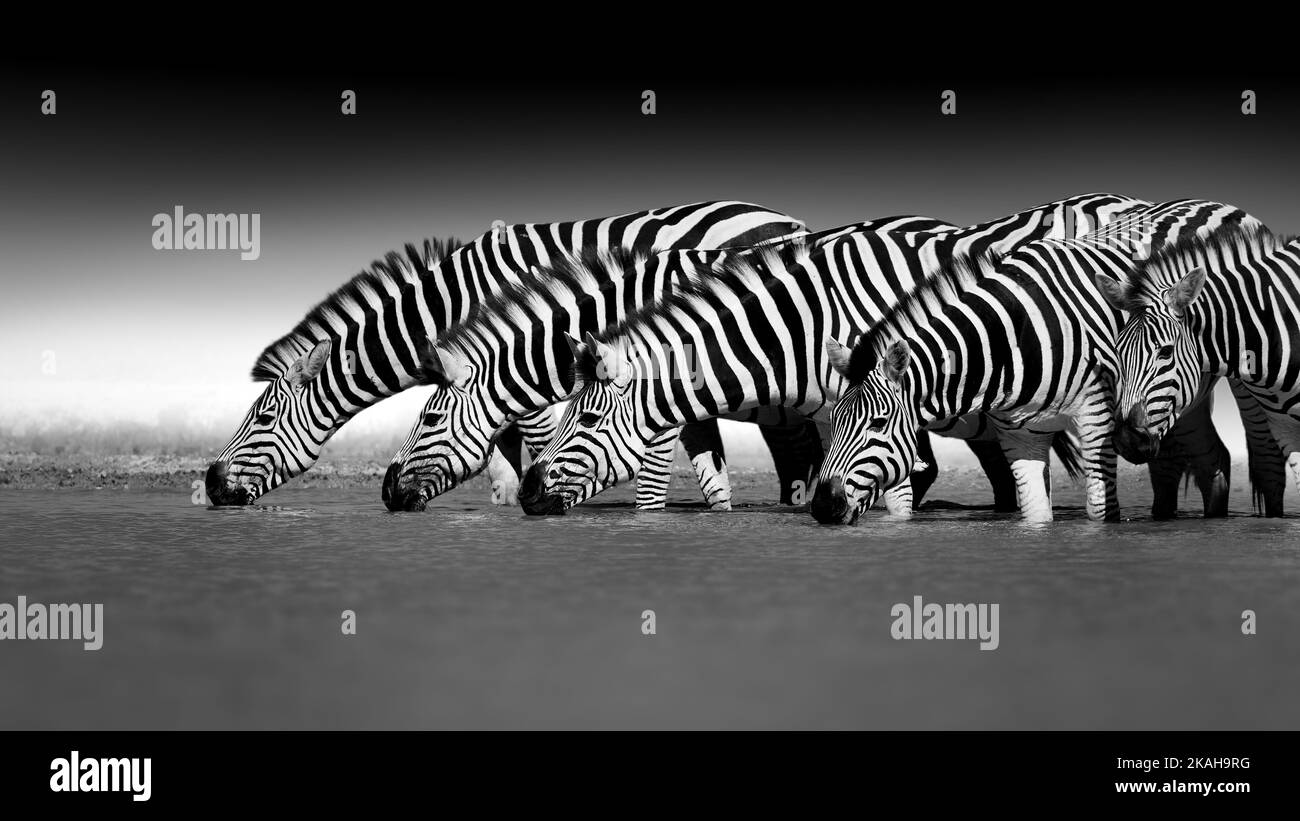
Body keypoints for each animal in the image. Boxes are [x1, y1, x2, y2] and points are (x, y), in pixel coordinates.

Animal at [203, 201, 806, 507]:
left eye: (261, 418)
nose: (207, 484)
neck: (450, 305)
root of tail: (786, 218)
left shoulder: (520, 370)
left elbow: (530, 447)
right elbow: (499, 458)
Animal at [811, 200, 1266, 525]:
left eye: (877, 424)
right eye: (834, 422)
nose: (821, 507)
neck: (1012, 341)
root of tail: (1219, 203)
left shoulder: (1098, 422)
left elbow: (1101, 514)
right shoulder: (1021, 437)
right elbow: (1034, 517)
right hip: (1180, 398)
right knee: (1207, 458)